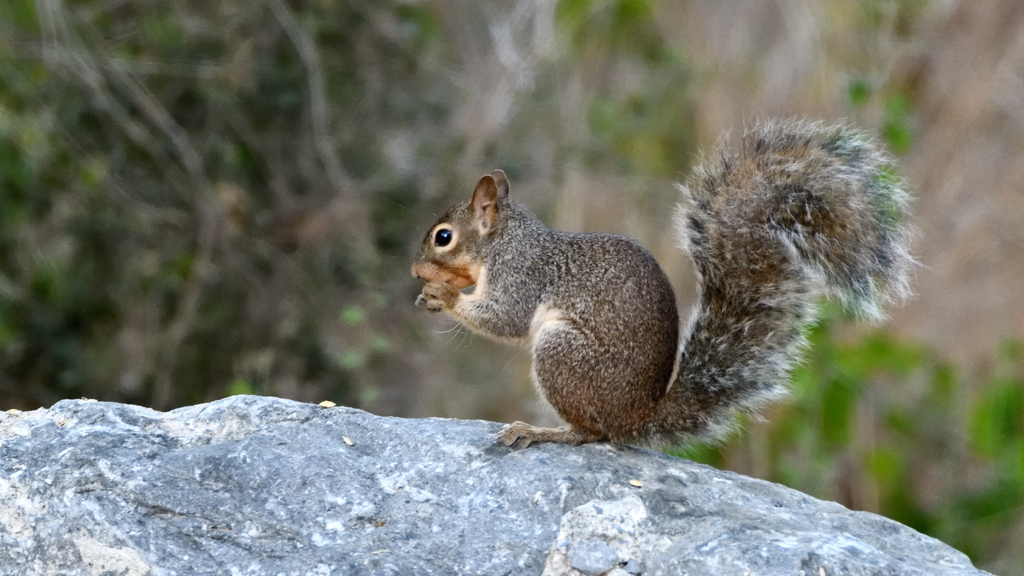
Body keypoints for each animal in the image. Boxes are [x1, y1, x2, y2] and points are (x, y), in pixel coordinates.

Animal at [411, 120, 914, 448]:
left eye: (443, 237)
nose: (416, 271)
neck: (504, 242)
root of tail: (639, 417)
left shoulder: (522, 274)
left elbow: (506, 318)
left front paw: (445, 294)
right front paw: (429, 296)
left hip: (562, 353)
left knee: (592, 434)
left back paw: (540, 432)